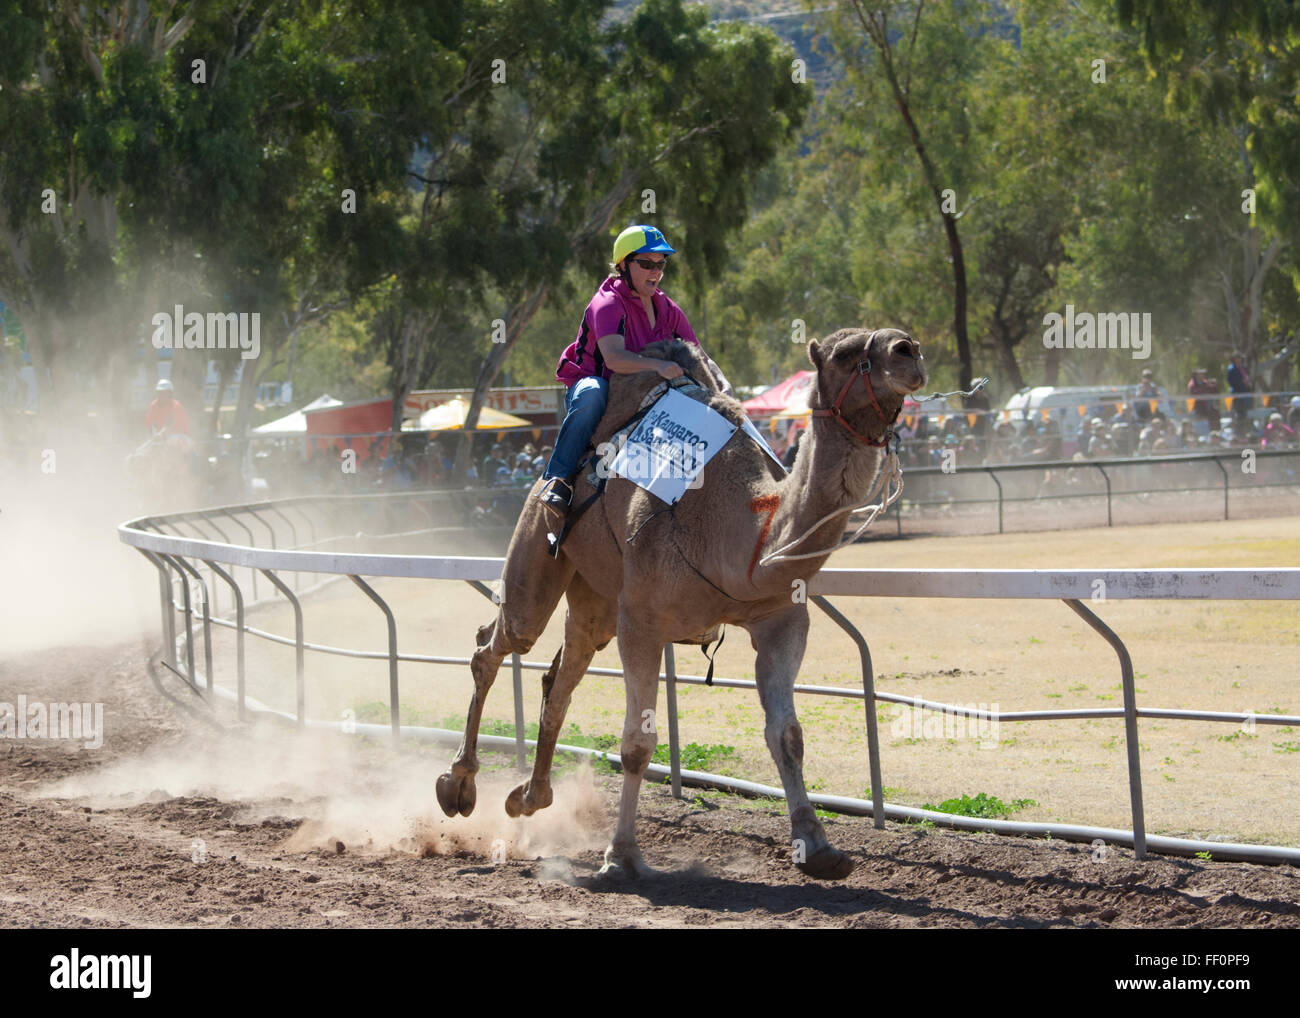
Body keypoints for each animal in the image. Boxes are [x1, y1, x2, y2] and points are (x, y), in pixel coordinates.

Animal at [437, 327, 927, 879]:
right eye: (845, 354)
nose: (908, 350)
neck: (737, 529)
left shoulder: (781, 619)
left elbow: (787, 735)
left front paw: (818, 847)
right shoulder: (642, 622)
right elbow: (637, 743)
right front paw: (621, 857)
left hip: (595, 597)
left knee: (560, 675)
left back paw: (529, 796)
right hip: (538, 543)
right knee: (497, 644)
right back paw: (457, 786)